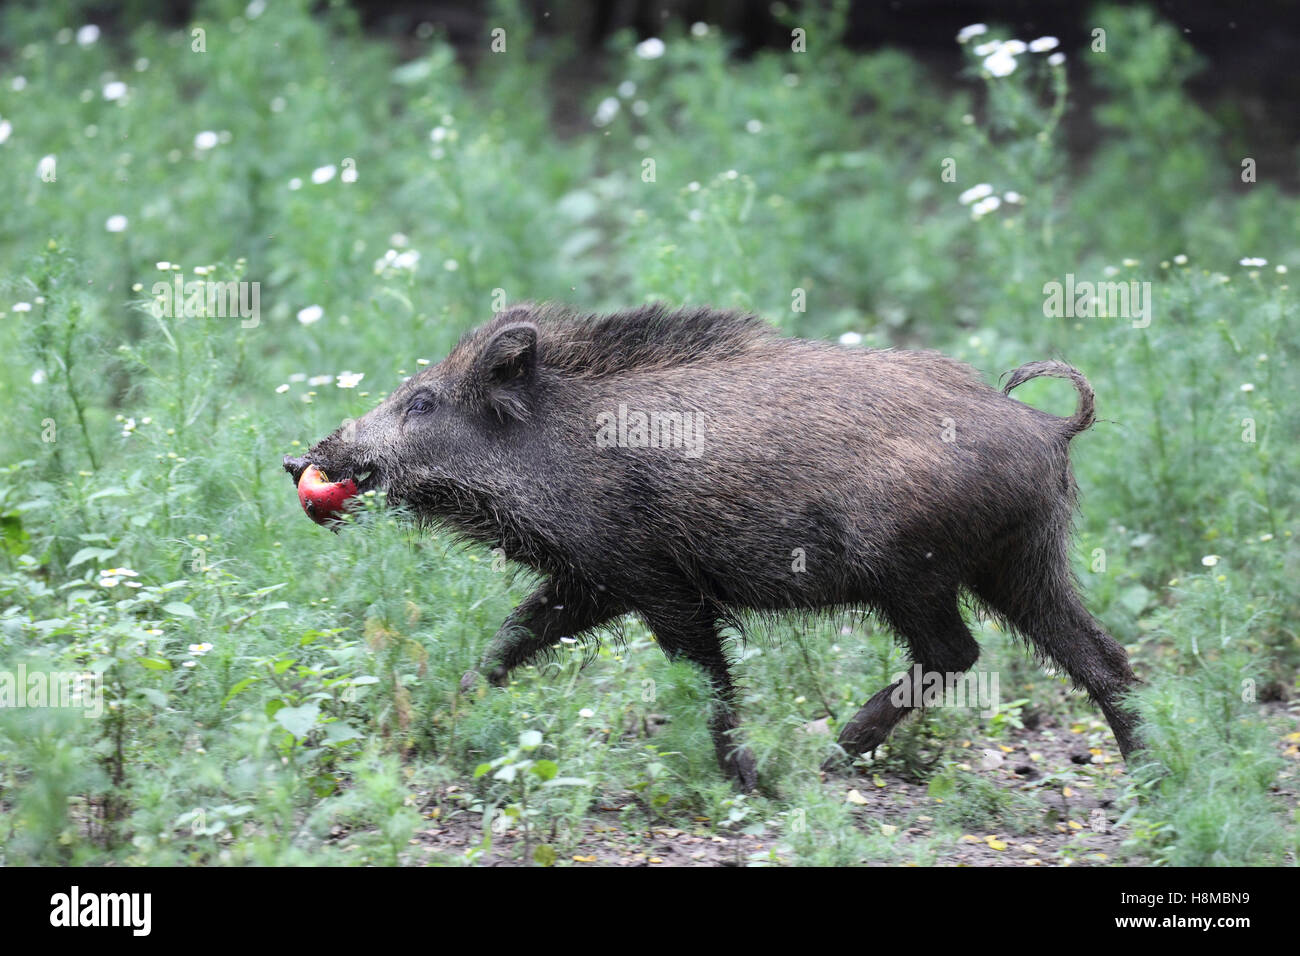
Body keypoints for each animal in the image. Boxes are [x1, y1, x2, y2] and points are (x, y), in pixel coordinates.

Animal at [284, 304, 1140, 790]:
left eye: (423, 402)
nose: (302, 460)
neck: (559, 449)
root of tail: (1047, 427)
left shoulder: (659, 582)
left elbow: (709, 680)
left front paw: (749, 783)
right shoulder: (592, 582)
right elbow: (508, 643)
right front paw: (440, 725)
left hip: (914, 570)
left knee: (957, 652)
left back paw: (828, 759)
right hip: (1020, 559)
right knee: (1100, 656)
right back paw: (1147, 776)